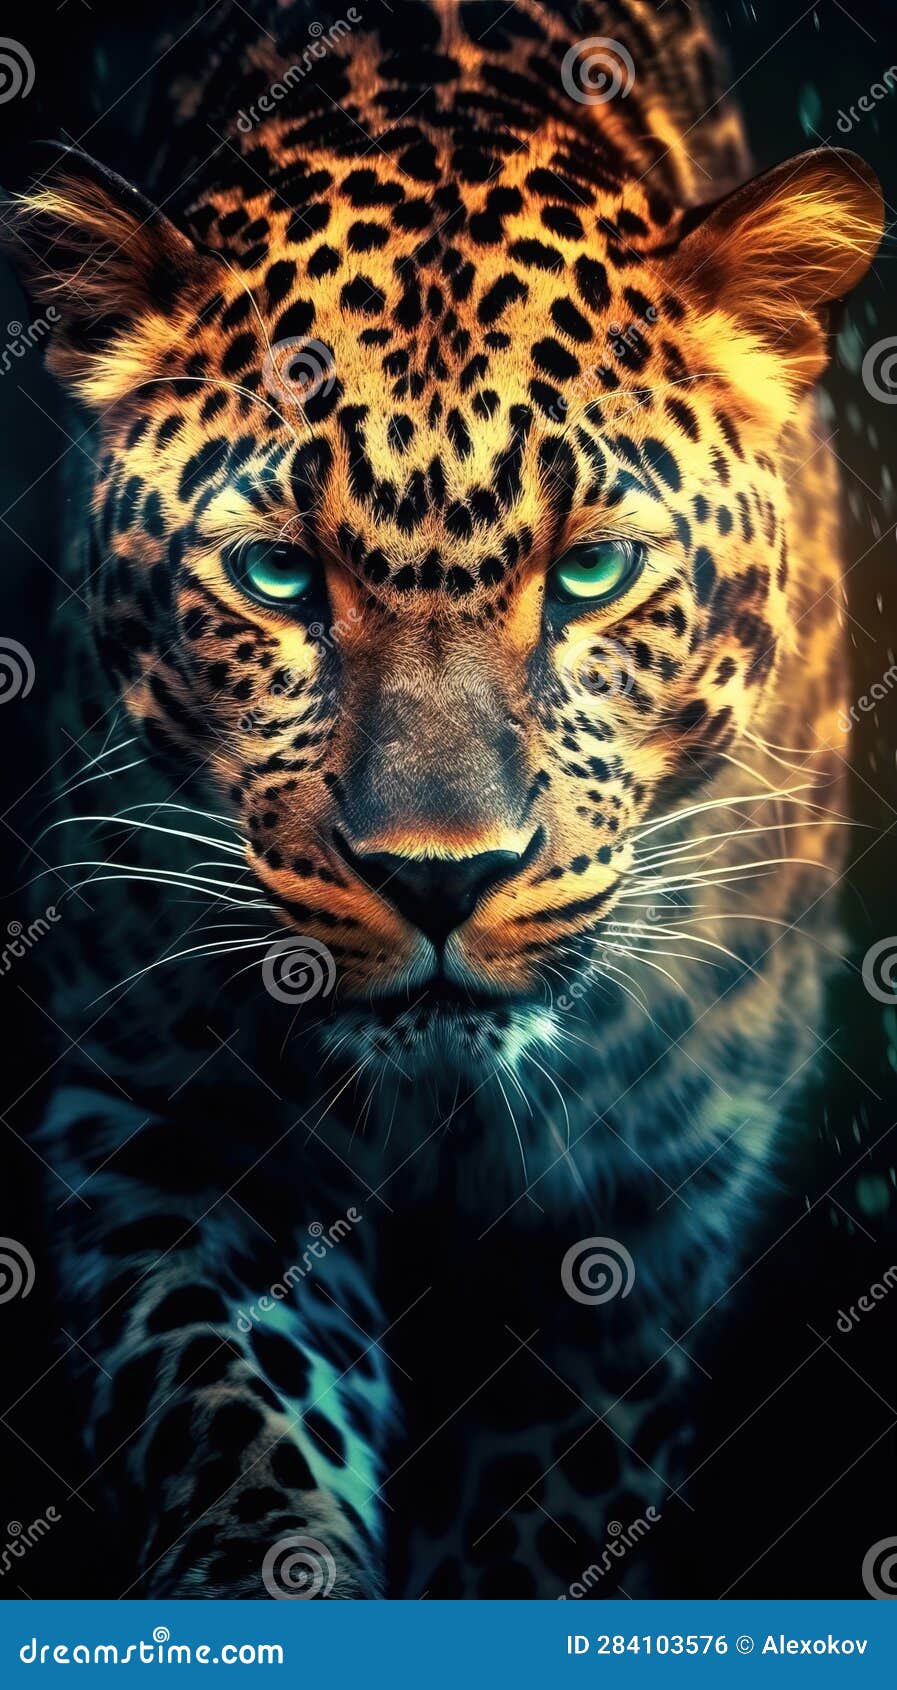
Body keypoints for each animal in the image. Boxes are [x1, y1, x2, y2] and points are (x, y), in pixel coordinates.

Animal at [2, 0, 883, 1599]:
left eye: (591, 571)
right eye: (278, 573)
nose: (437, 876)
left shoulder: (645, 1211)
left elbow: (551, 1510)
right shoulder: (163, 1116)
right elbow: (235, 1403)